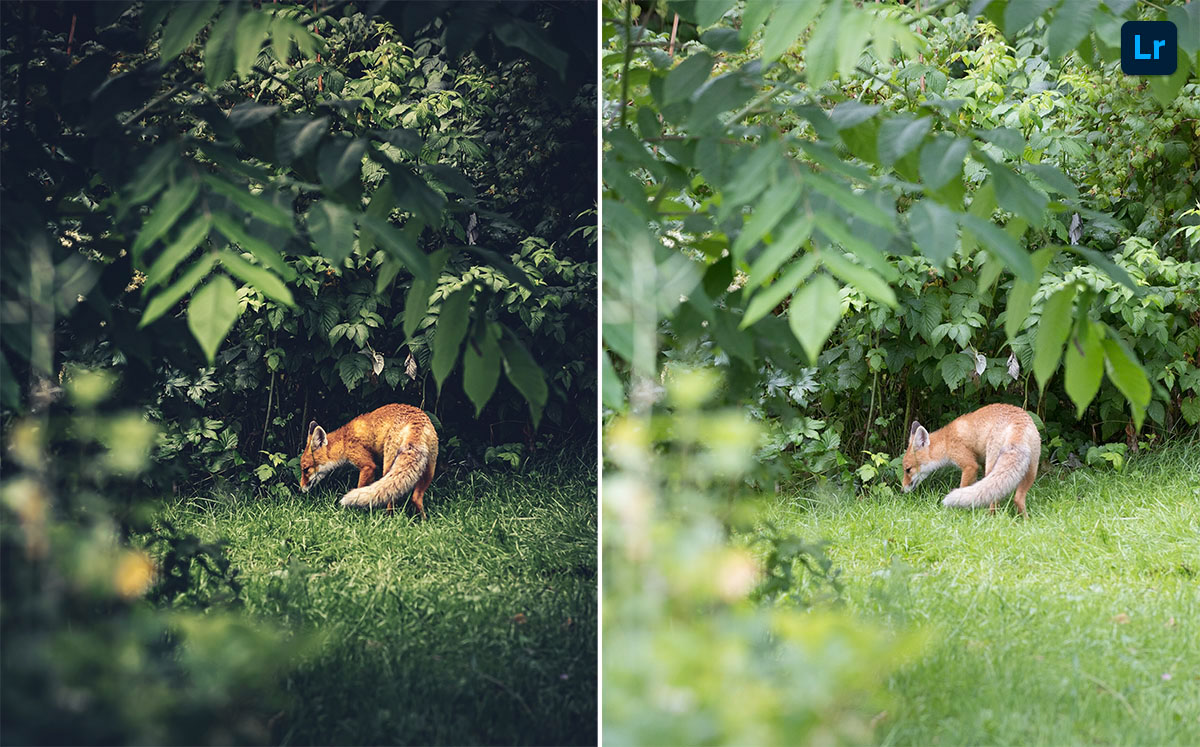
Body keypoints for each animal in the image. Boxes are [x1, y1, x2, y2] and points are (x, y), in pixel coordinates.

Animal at [299, 403, 439, 518]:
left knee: (391, 496)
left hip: (388, 465)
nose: (300, 489)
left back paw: (389, 519)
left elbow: (361, 487)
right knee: (416, 498)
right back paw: (422, 522)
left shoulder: (368, 465)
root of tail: (415, 424)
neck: (344, 441)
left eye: (306, 470)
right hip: (429, 469)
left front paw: (355, 512)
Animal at [901, 403, 1040, 518]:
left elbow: (964, 487)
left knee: (995, 497)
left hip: (993, 465)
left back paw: (991, 518)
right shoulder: (981, 462)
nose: (902, 490)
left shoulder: (970, 465)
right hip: (1031, 469)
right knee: (1017, 498)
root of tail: (1018, 425)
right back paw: (1025, 521)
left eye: (908, 470)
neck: (946, 441)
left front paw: (957, 511)